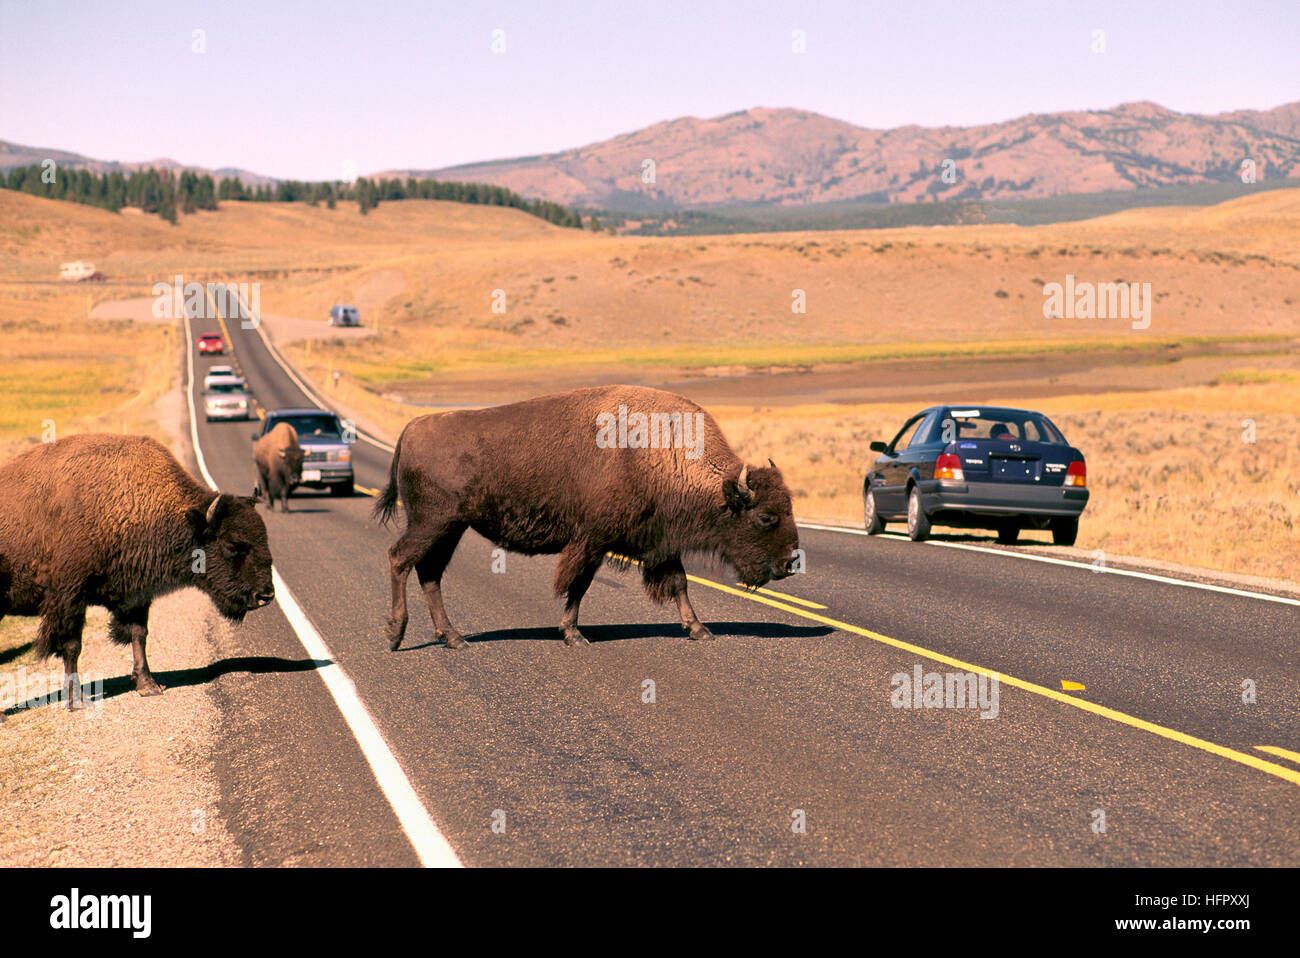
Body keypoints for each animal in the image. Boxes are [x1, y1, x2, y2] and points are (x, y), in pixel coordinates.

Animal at [0, 434, 274, 706]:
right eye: (231, 544)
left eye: (264, 538)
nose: (266, 595)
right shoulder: (69, 600)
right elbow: (72, 646)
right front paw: (77, 700)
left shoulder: (136, 596)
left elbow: (139, 634)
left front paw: (148, 685)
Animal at [375, 385, 800, 649]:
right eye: (765, 517)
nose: (790, 563)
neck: (661, 450)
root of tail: (411, 428)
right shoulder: (593, 541)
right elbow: (577, 586)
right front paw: (574, 635)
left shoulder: (659, 543)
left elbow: (679, 583)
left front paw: (699, 629)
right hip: (433, 523)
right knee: (400, 559)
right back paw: (396, 635)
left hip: (450, 528)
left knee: (429, 573)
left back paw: (454, 638)